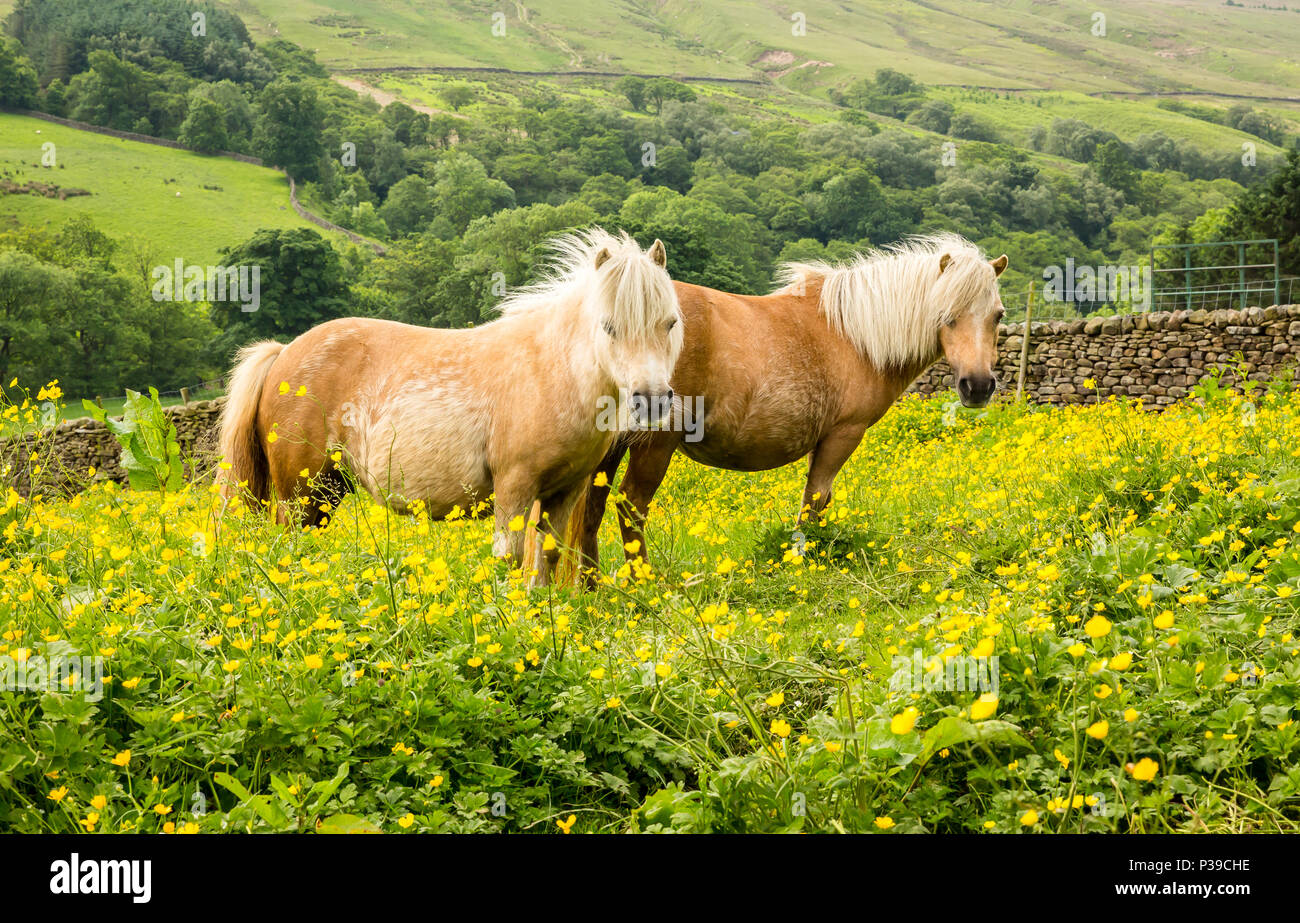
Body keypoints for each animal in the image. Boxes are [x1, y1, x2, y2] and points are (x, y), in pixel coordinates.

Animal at [216, 229, 683, 586]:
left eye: (670, 322)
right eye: (609, 326)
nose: (652, 399)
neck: (552, 370)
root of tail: (283, 353)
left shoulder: (564, 491)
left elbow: (546, 557)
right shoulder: (514, 488)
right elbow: (510, 557)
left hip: (327, 491)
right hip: (299, 494)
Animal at [567, 232, 1007, 582]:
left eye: (998, 315)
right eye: (946, 315)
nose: (978, 386)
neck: (855, 335)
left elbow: (820, 503)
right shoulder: (843, 435)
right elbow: (811, 504)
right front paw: (802, 561)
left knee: (591, 508)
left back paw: (593, 586)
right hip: (654, 445)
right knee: (630, 507)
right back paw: (642, 583)